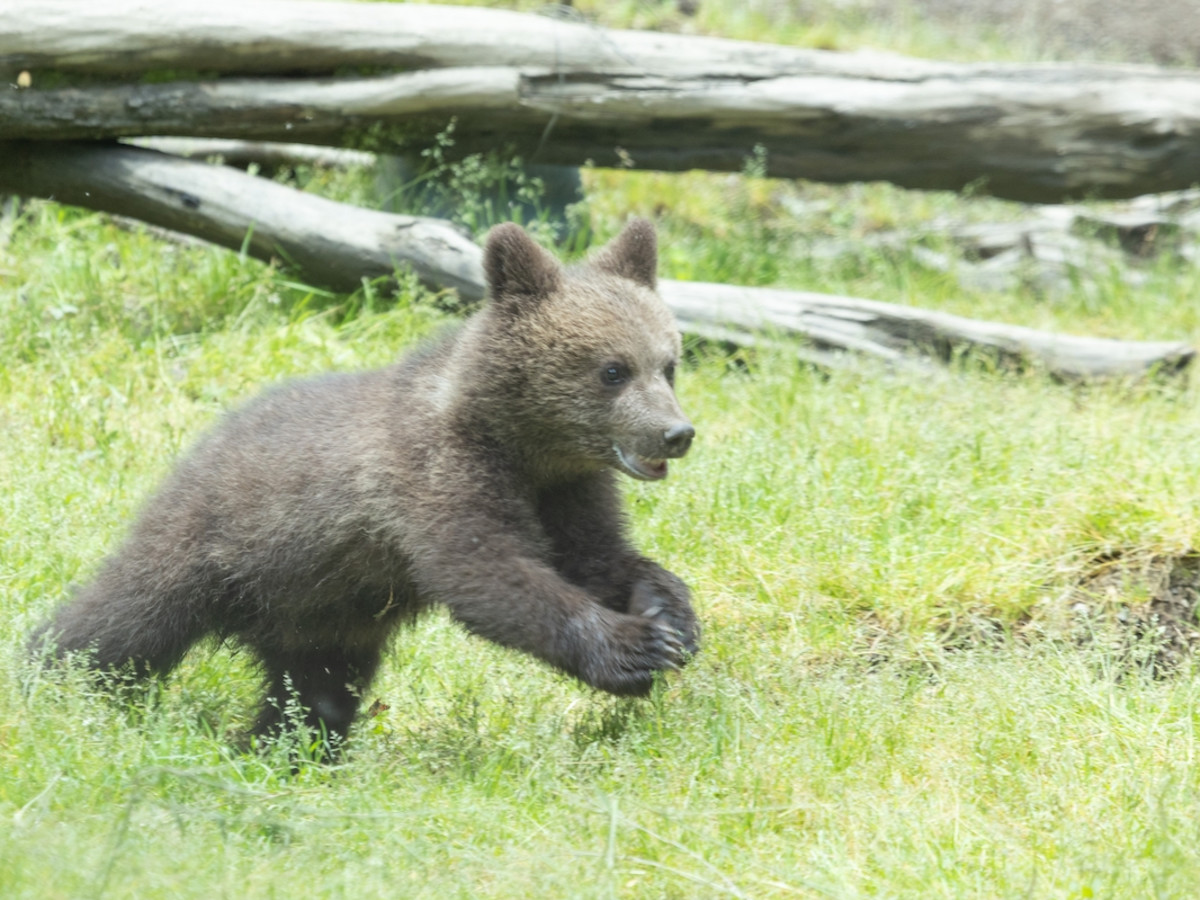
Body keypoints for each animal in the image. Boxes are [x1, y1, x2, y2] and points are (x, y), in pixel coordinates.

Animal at [31, 217, 699, 750]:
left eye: (668, 363)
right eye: (613, 370)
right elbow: (488, 571)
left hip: (319, 613)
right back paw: (50, 679)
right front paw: (632, 647)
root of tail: (203, 442)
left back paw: (279, 750)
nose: (676, 432)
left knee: (314, 694)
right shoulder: (432, 476)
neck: (518, 444)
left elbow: (599, 558)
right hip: (210, 544)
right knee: (119, 623)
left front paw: (672, 615)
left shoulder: (570, 489)